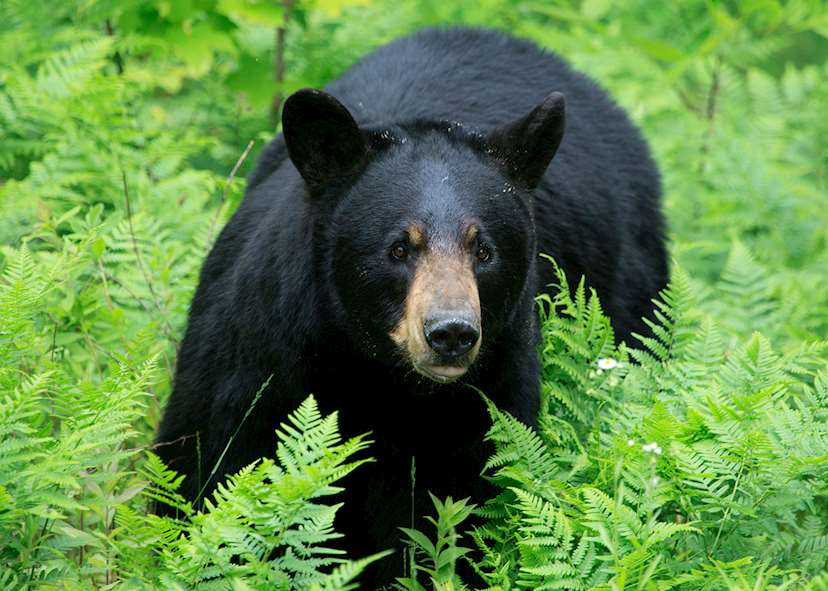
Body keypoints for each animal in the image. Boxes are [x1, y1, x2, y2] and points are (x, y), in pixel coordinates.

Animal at [156, 27, 667, 587]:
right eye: (399, 248)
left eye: (483, 249)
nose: (451, 332)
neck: (380, 380)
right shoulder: (255, 360)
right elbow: (207, 468)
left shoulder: (490, 401)